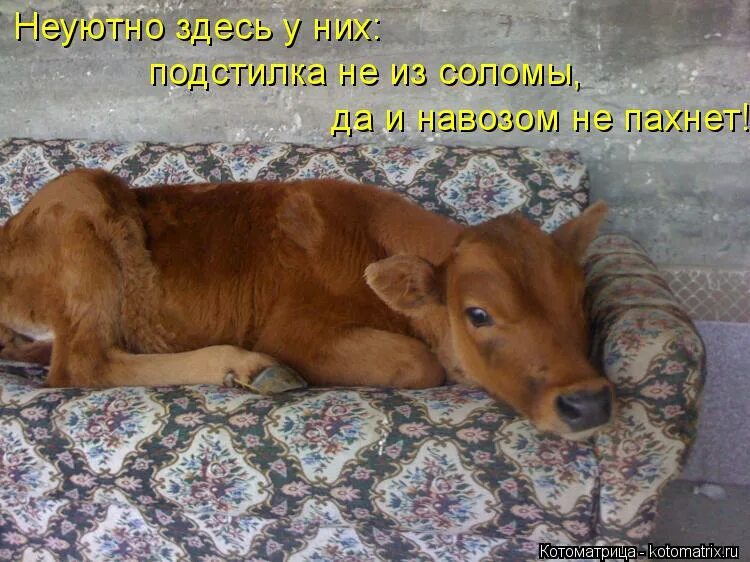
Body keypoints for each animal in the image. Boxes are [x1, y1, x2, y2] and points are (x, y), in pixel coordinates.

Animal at [0, 169, 612, 438]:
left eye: (580, 303)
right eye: (478, 313)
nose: (587, 403)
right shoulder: (297, 331)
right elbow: (420, 363)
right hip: (81, 206)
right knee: (83, 363)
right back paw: (251, 367)